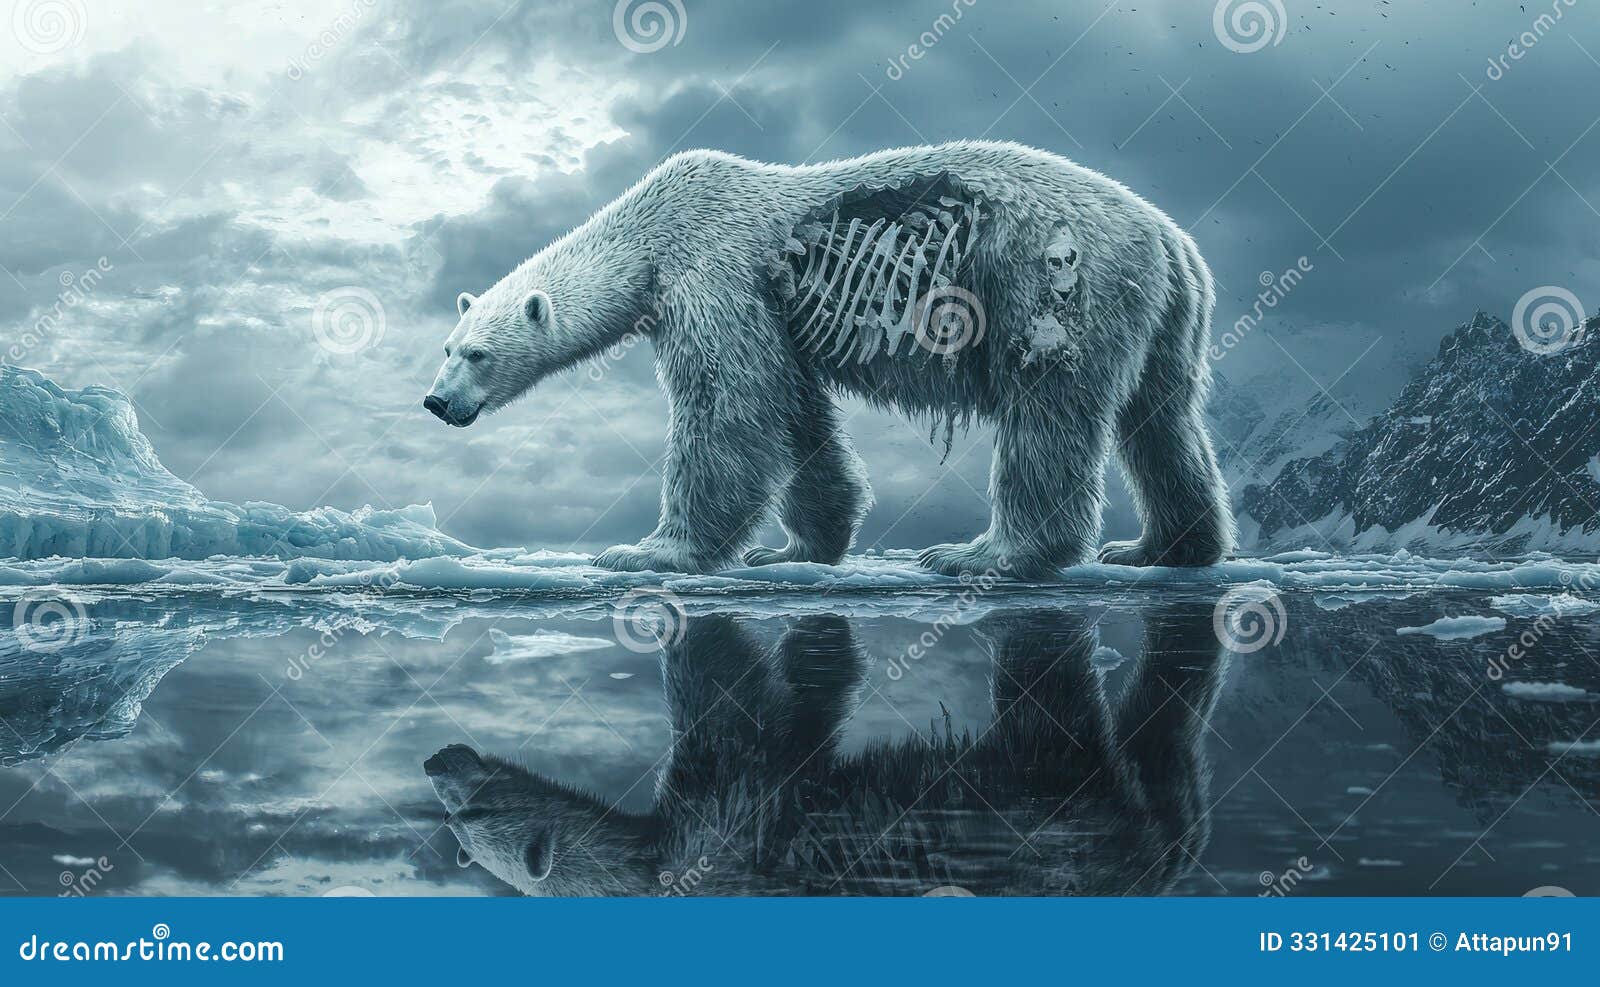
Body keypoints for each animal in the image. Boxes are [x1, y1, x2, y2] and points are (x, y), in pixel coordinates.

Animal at [423, 141, 1235, 578]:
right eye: (447, 348)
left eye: (478, 354)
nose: (437, 401)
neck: (652, 229)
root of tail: (1170, 233)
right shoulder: (773, 317)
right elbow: (797, 414)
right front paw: (795, 548)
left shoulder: (715, 274)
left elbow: (728, 405)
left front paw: (652, 551)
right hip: (1165, 313)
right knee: (1163, 419)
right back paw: (1162, 546)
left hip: (1044, 279)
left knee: (1048, 412)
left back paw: (983, 553)